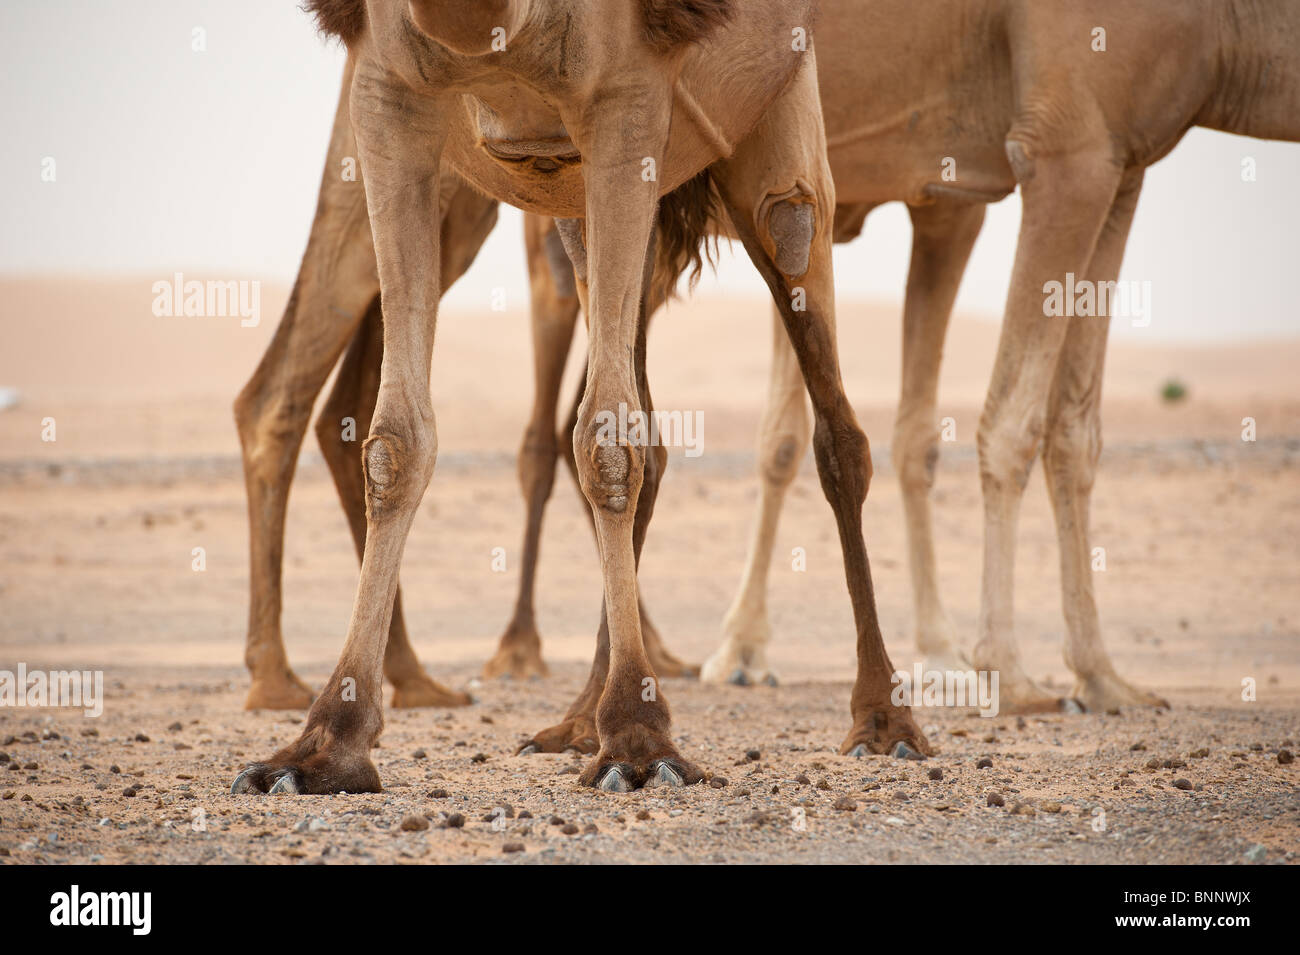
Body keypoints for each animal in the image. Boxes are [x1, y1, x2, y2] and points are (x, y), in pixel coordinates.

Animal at [231, 0, 930, 796]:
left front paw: (638, 740)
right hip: (577, 206)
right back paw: (576, 720)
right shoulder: (385, 88)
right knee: (648, 428)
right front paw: (322, 745)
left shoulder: (629, 93)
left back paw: (885, 720)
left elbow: (605, 440)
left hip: (778, 136)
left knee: (830, 400)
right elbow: (398, 441)